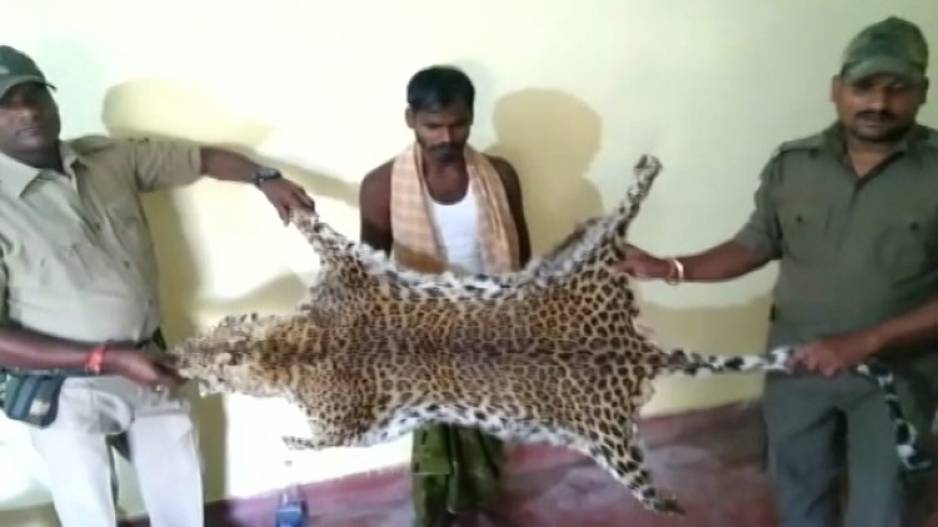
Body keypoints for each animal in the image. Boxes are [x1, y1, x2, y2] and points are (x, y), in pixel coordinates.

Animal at [167, 155, 928, 515]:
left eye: (212, 360)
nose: (176, 355)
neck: (300, 347)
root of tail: (633, 348)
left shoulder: (351, 367)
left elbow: (324, 438)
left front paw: (289, 439)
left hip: (610, 435)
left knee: (628, 210)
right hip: (596, 291)